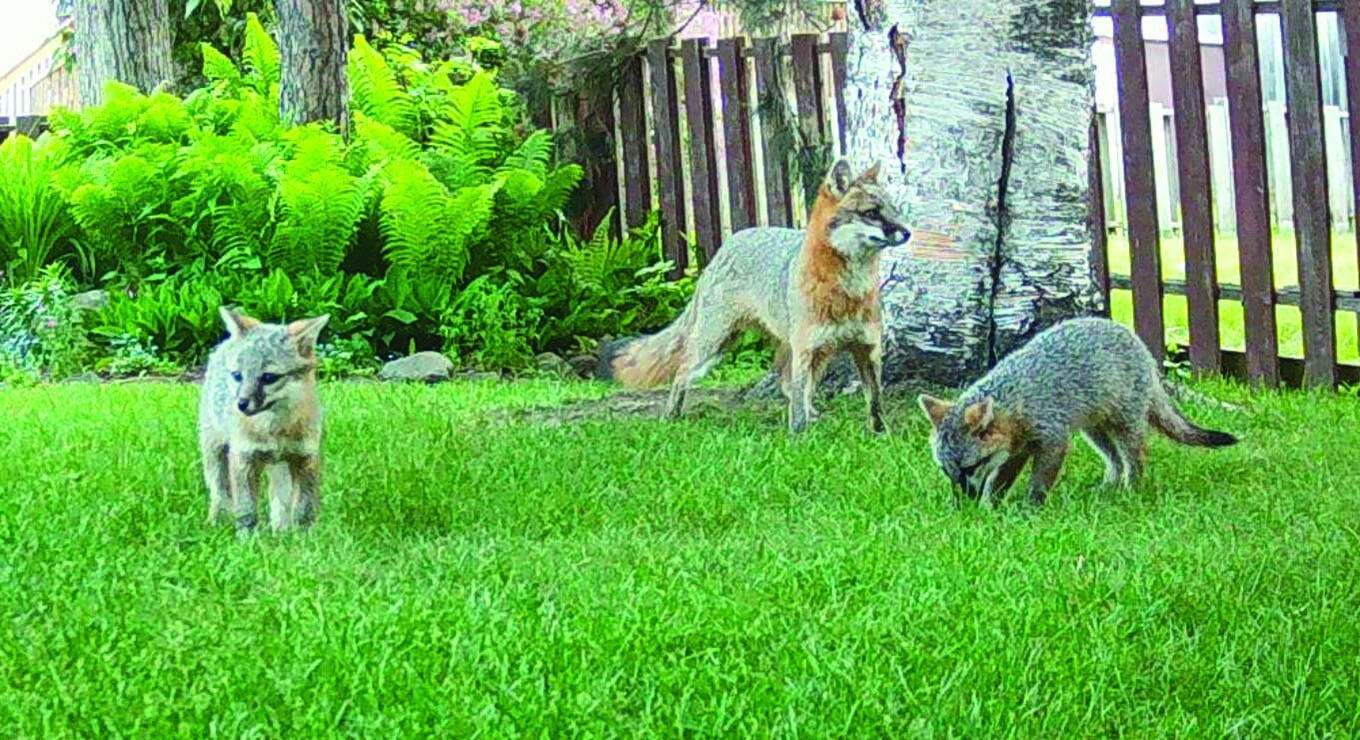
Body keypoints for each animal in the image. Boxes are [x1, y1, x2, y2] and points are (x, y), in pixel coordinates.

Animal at [199, 307, 329, 536]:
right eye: (237, 375)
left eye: (269, 377)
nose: (241, 404)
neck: (275, 430)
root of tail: (224, 343)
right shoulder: (243, 457)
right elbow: (246, 509)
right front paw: (247, 539)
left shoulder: (306, 457)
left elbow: (303, 509)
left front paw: (304, 539)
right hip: (215, 452)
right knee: (219, 492)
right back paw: (216, 520)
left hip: (280, 466)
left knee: (279, 499)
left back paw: (280, 532)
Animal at [598, 159, 912, 433]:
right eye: (871, 213)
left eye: (894, 211)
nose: (908, 232)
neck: (847, 290)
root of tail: (730, 242)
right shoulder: (807, 349)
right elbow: (798, 407)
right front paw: (799, 440)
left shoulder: (866, 348)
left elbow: (875, 403)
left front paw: (882, 435)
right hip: (714, 347)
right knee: (682, 374)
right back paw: (670, 417)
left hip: (807, 354)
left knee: (787, 386)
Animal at [917, 317, 1238, 506]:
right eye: (947, 470)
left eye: (969, 468)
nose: (963, 504)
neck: (1017, 400)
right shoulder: (1017, 451)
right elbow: (998, 481)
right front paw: (989, 508)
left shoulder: (1053, 440)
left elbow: (1039, 482)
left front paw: (1030, 509)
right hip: (1093, 430)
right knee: (1115, 461)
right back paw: (1107, 489)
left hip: (1125, 426)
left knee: (1134, 460)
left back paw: (1130, 492)